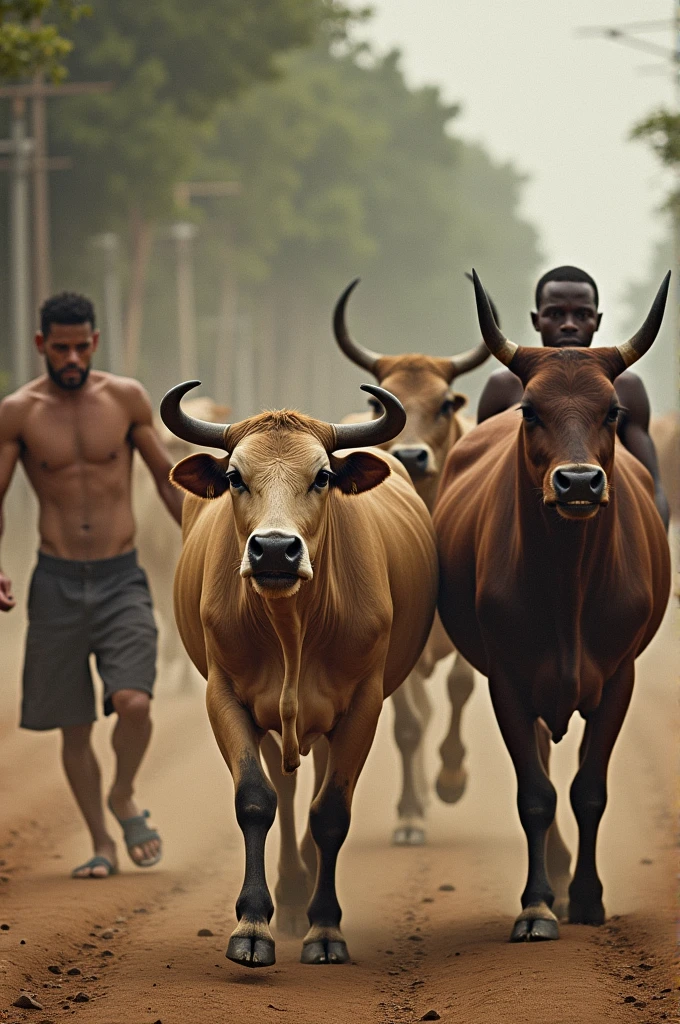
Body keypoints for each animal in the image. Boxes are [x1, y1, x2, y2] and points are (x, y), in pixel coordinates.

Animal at [161, 380, 438, 967]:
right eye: (235, 476)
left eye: (323, 476)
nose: (273, 550)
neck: (291, 628)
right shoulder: (225, 697)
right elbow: (255, 800)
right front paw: (253, 924)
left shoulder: (363, 705)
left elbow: (330, 812)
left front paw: (325, 928)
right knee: (286, 795)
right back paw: (290, 896)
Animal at [333, 278, 492, 844]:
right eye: (381, 402)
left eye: (444, 404)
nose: (410, 455)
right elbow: (406, 725)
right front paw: (408, 814)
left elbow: (460, 688)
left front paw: (451, 779)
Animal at [434, 270, 671, 942]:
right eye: (530, 409)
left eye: (612, 410)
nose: (579, 483)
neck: (568, 584)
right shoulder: (508, 681)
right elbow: (535, 795)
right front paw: (538, 905)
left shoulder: (619, 678)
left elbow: (590, 790)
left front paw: (588, 899)